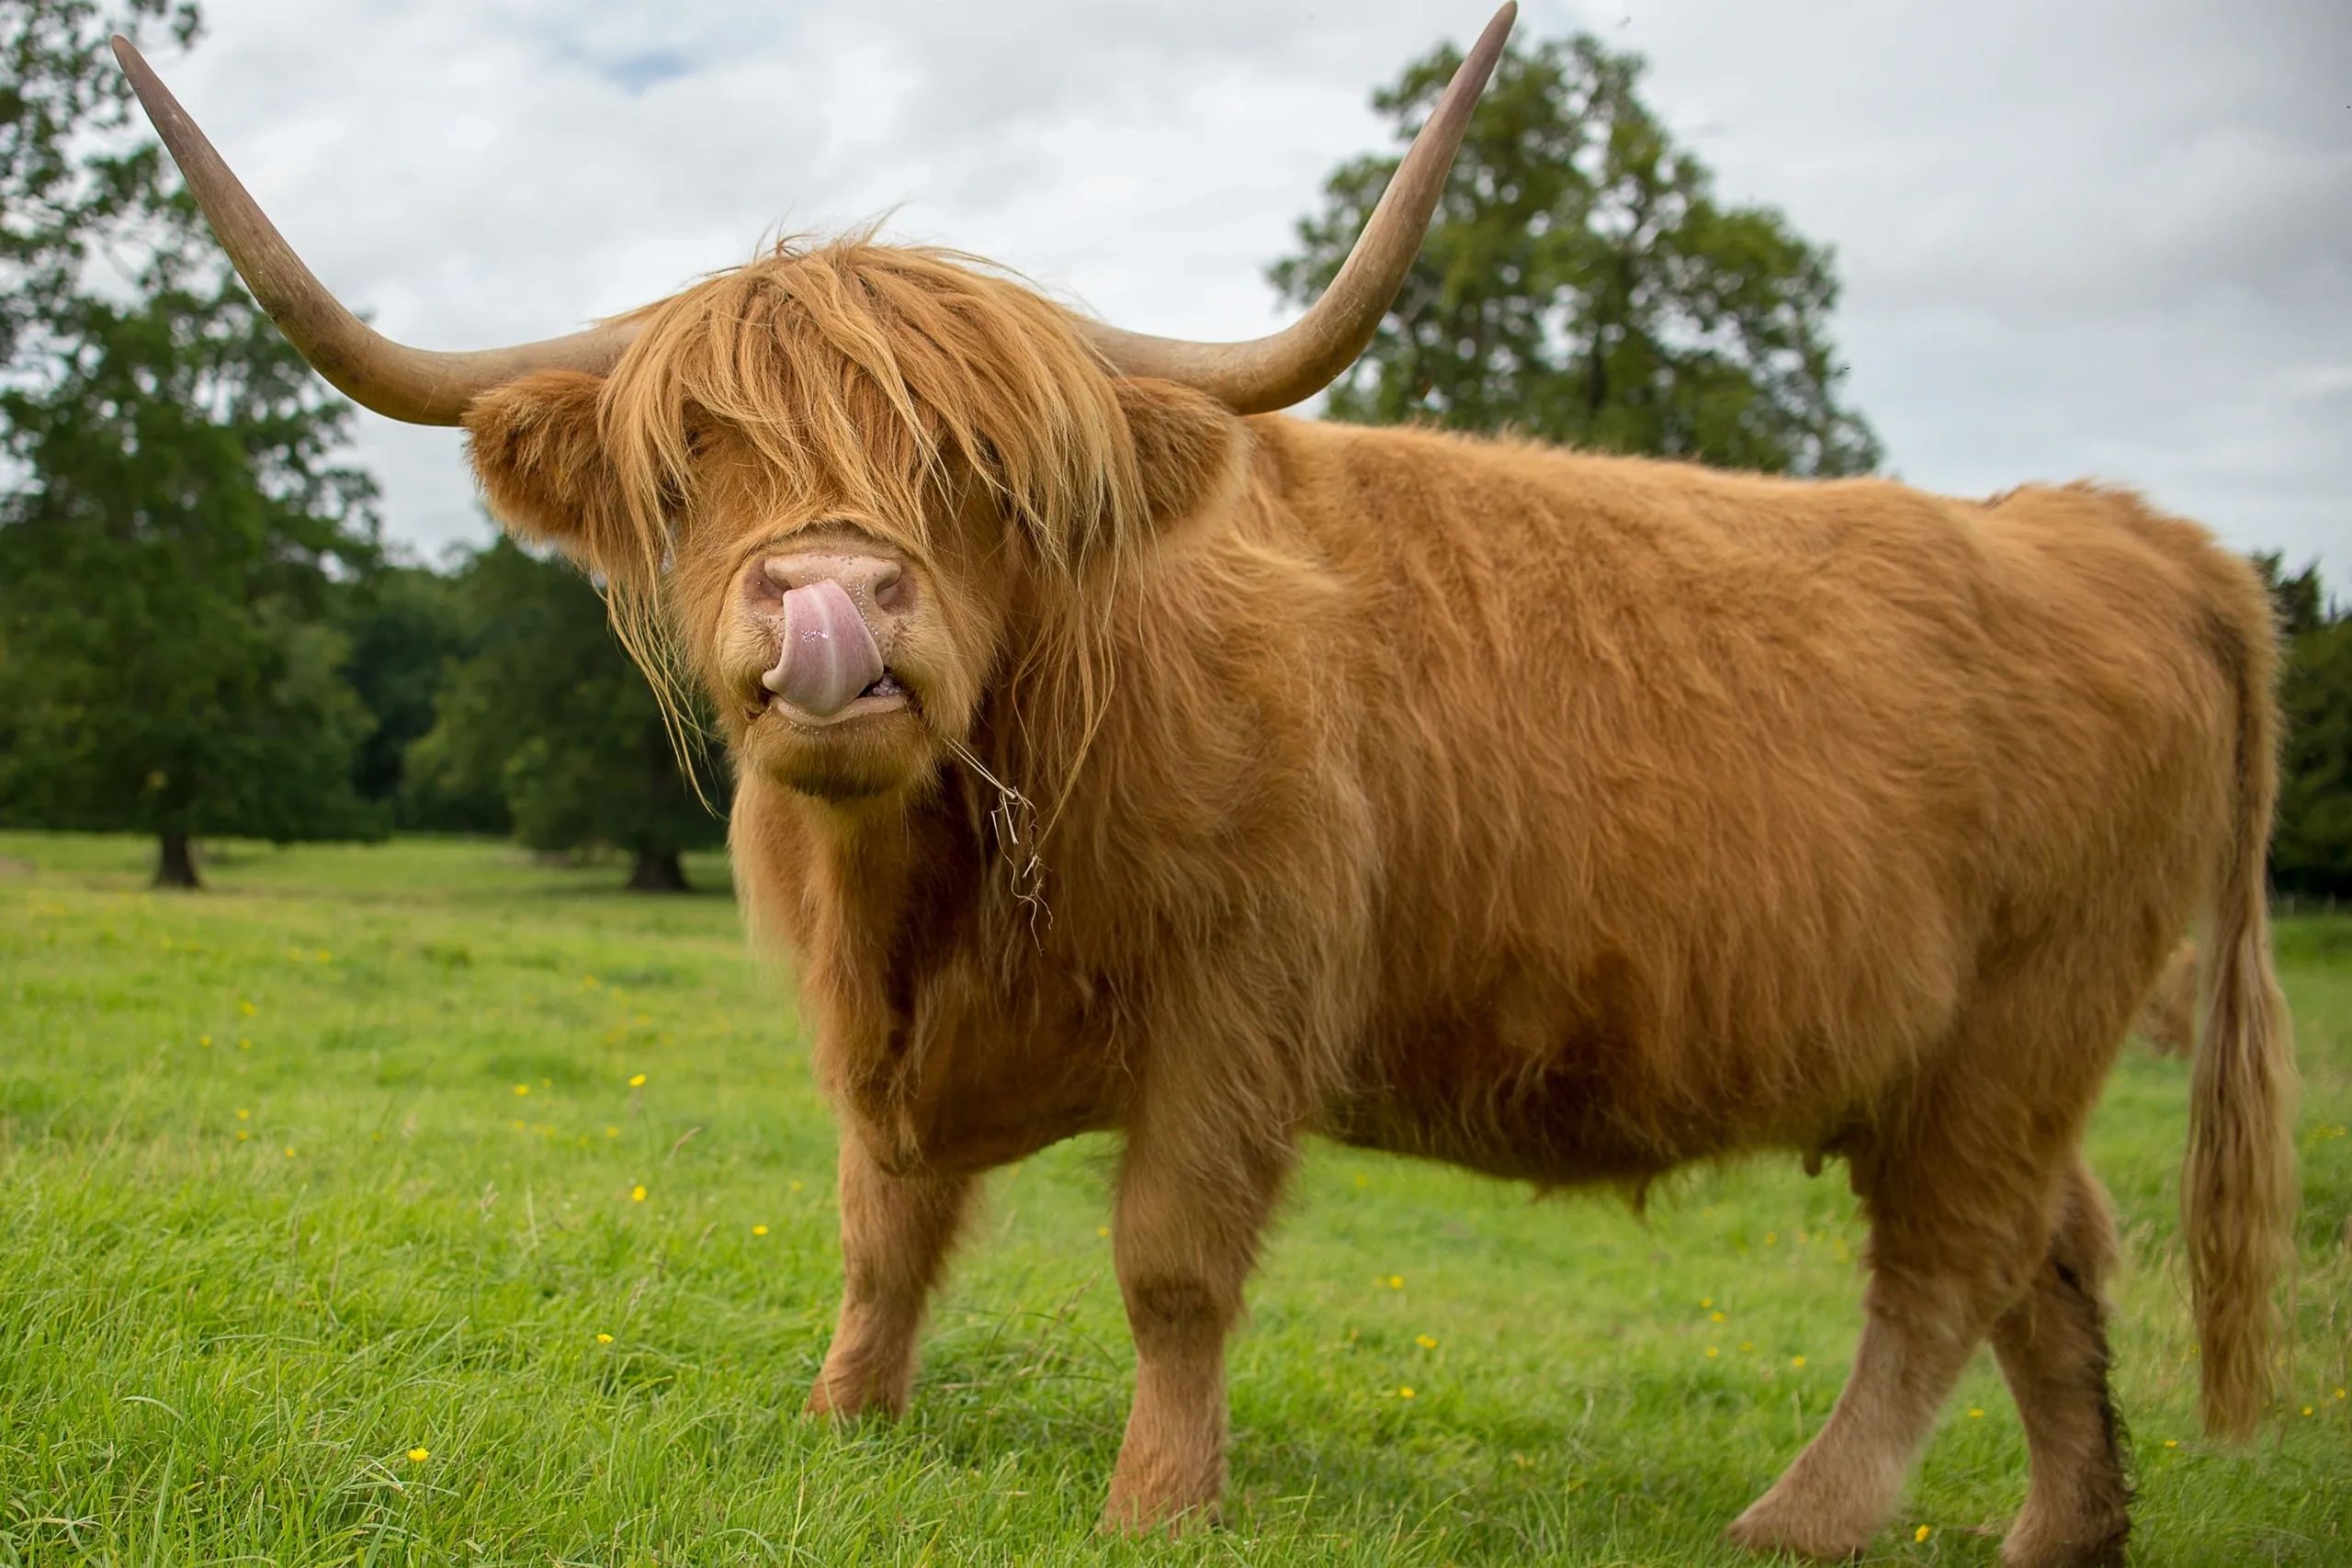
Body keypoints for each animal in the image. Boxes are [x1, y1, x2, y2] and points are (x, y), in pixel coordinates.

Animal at [117, 9, 2295, 1564]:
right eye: (690, 463)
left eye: (980, 467)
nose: (830, 603)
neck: (928, 886)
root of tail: (2114, 528)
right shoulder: (872, 1043)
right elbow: (882, 1231)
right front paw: (841, 1422)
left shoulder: (1241, 1006)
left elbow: (1168, 1264)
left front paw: (1156, 1501)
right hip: (1963, 1051)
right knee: (2052, 1259)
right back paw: (2059, 1532)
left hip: (2022, 1016)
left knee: (1944, 1271)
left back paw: (1800, 1520)